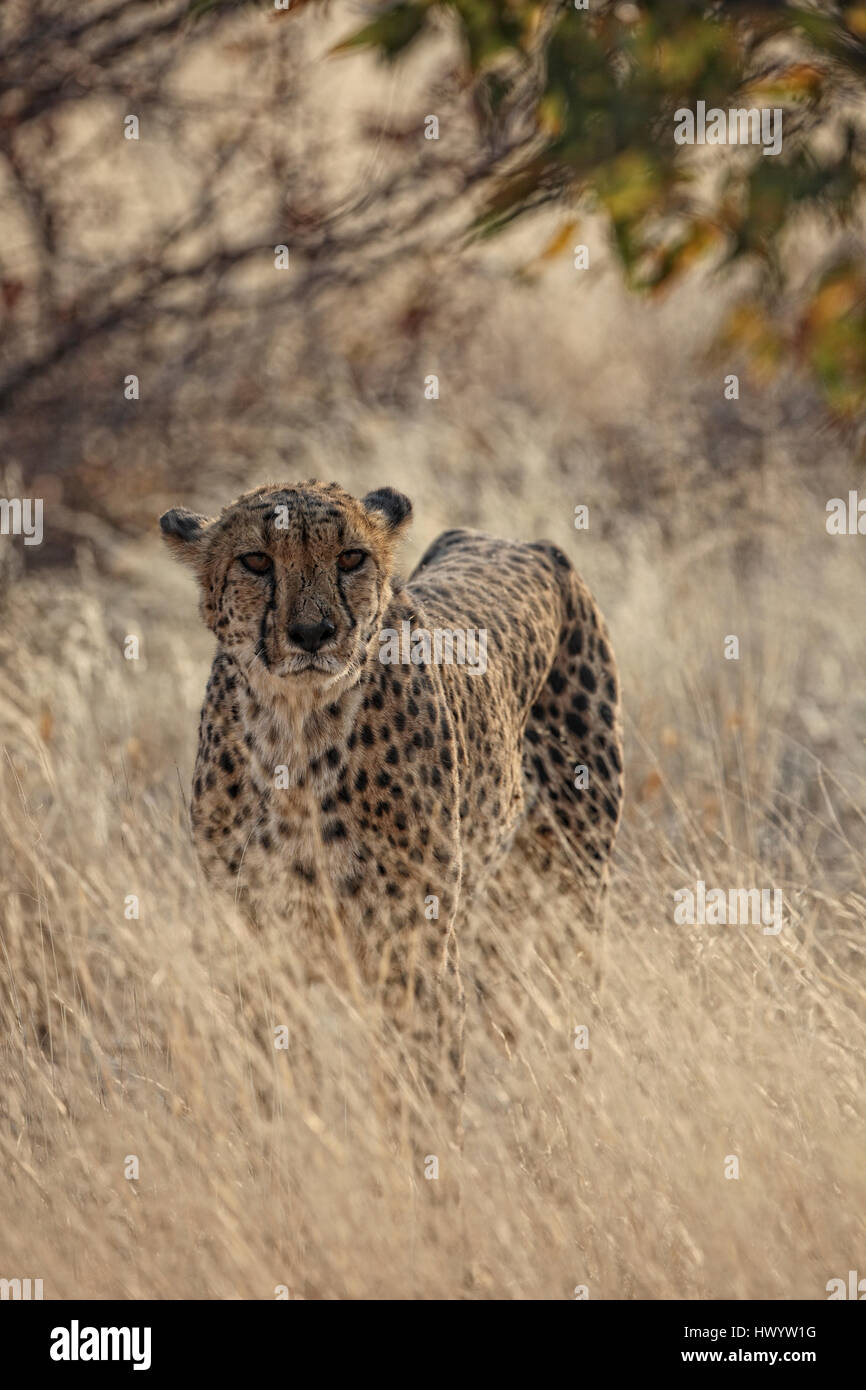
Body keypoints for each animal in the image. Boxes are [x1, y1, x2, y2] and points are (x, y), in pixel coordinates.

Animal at [160, 479, 623, 1177]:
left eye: (351, 558)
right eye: (256, 562)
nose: (313, 632)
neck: (295, 734)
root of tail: (517, 541)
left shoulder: (414, 955)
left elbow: (423, 1108)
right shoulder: (260, 949)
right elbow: (274, 1092)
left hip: (568, 889)